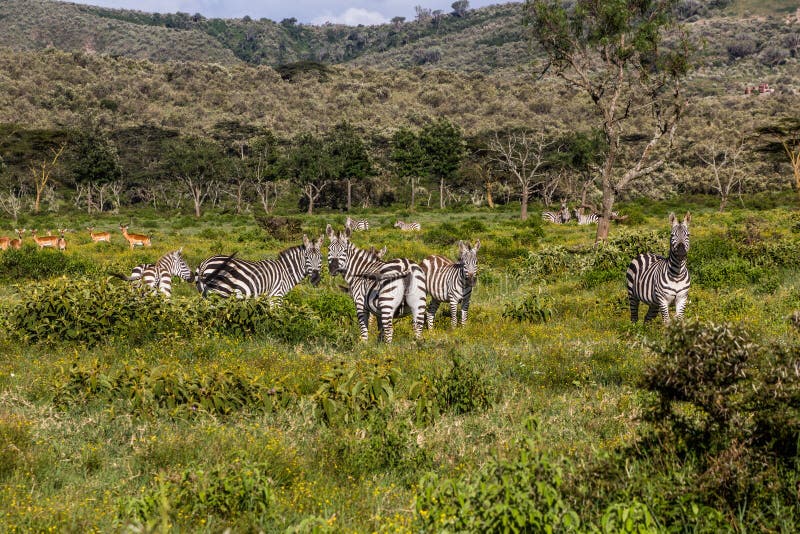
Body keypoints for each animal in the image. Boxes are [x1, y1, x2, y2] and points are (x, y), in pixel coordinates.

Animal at [194, 234, 323, 303]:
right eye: (307, 258)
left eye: (321, 257)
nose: (316, 278)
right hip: (219, 293)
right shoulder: (276, 295)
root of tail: (205, 263)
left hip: (205, 294)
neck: (286, 271)